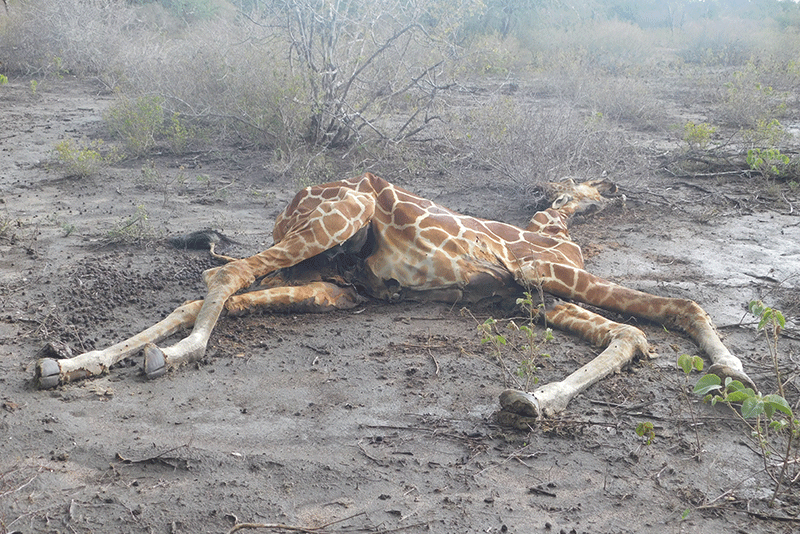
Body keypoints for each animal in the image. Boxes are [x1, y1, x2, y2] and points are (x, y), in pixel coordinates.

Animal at [35, 173, 756, 420]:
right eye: (587, 184)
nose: (615, 192)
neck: (554, 233)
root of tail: (290, 209)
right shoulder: (552, 279)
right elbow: (678, 309)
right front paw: (732, 368)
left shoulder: (537, 296)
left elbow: (638, 329)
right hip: (334, 224)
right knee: (220, 279)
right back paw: (177, 354)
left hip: (331, 286)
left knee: (217, 292)